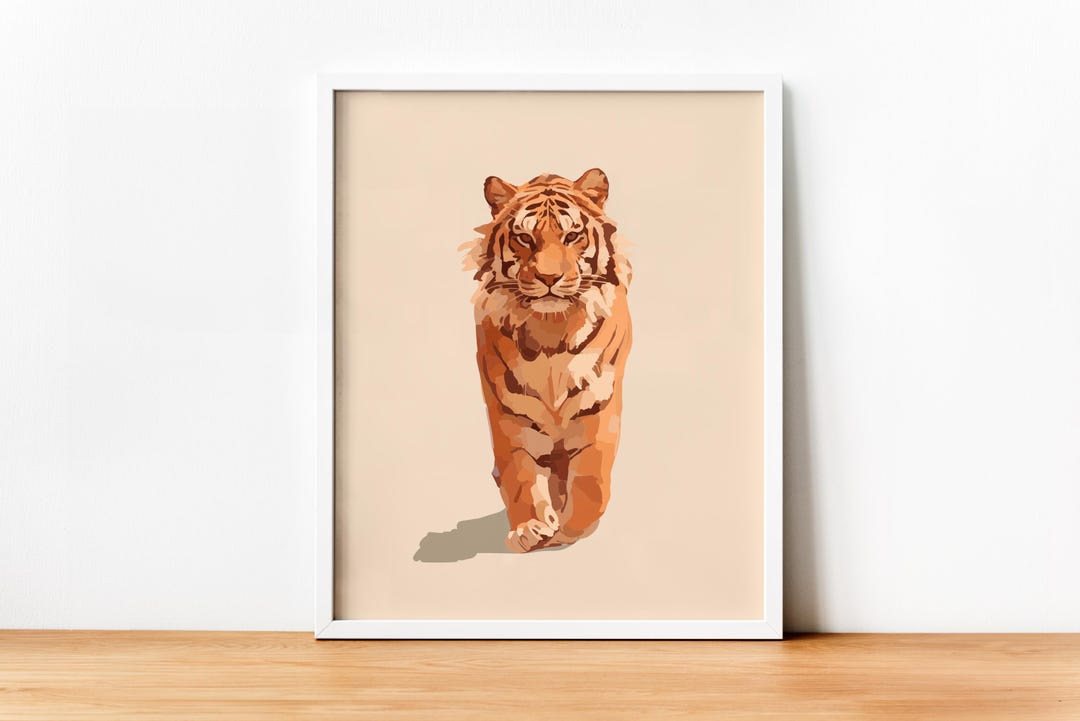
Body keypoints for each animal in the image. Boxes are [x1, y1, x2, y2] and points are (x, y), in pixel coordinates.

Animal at [462, 168, 632, 553]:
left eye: (572, 235)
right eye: (524, 238)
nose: (549, 278)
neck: (551, 333)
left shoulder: (598, 409)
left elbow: (591, 483)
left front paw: (569, 530)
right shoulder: (509, 416)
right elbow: (521, 477)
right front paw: (531, 528)